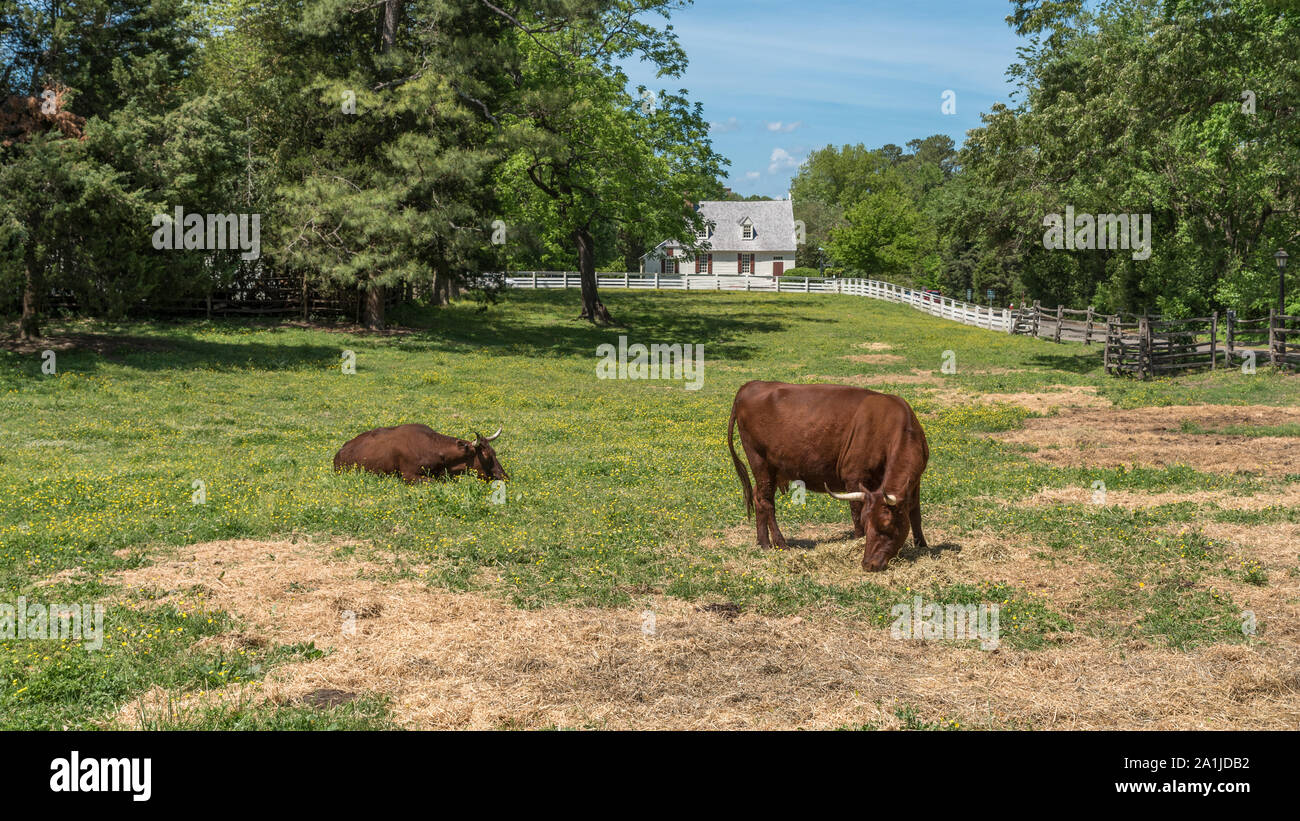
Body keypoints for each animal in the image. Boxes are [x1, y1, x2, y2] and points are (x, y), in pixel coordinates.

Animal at [727, 380, 929, 571]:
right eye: (867, 524)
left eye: (886, 525)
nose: (868, 564)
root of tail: (751, 385)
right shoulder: (854, 476)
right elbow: (856, 512)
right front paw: (857, 542)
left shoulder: (915, 482)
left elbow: (915, 513)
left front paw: (922, 546)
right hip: (759, 461)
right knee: (766, 502)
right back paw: (779, 543)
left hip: (774, 469)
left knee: (758, 497)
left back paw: (763, 542)